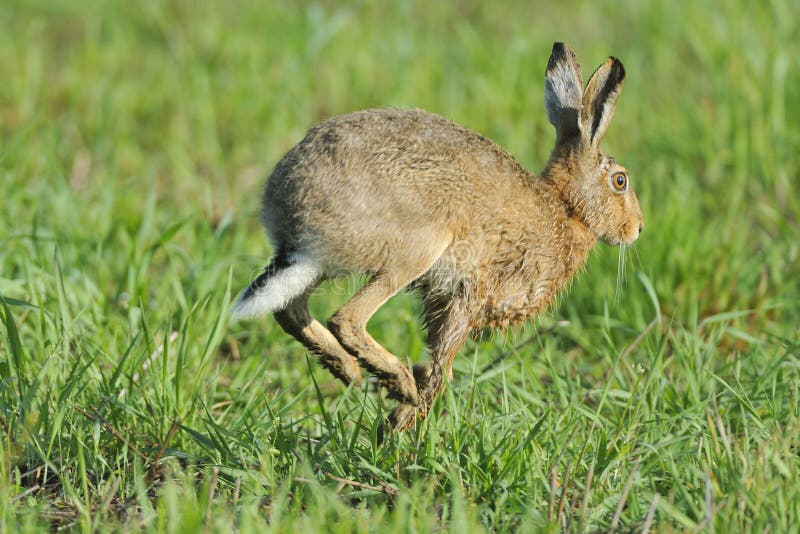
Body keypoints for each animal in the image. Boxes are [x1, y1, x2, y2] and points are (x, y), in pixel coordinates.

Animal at [231, 42, 643, 432]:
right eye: (620, 181)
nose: (638, 228)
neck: (567, 207)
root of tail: (290, 207)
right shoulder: (469, 293)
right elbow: (442, 364)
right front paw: (400, 423)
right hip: (416, 249)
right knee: (347, 318)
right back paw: (398, 384)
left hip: (321, 265)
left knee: (289, 310)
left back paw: (349, 371)